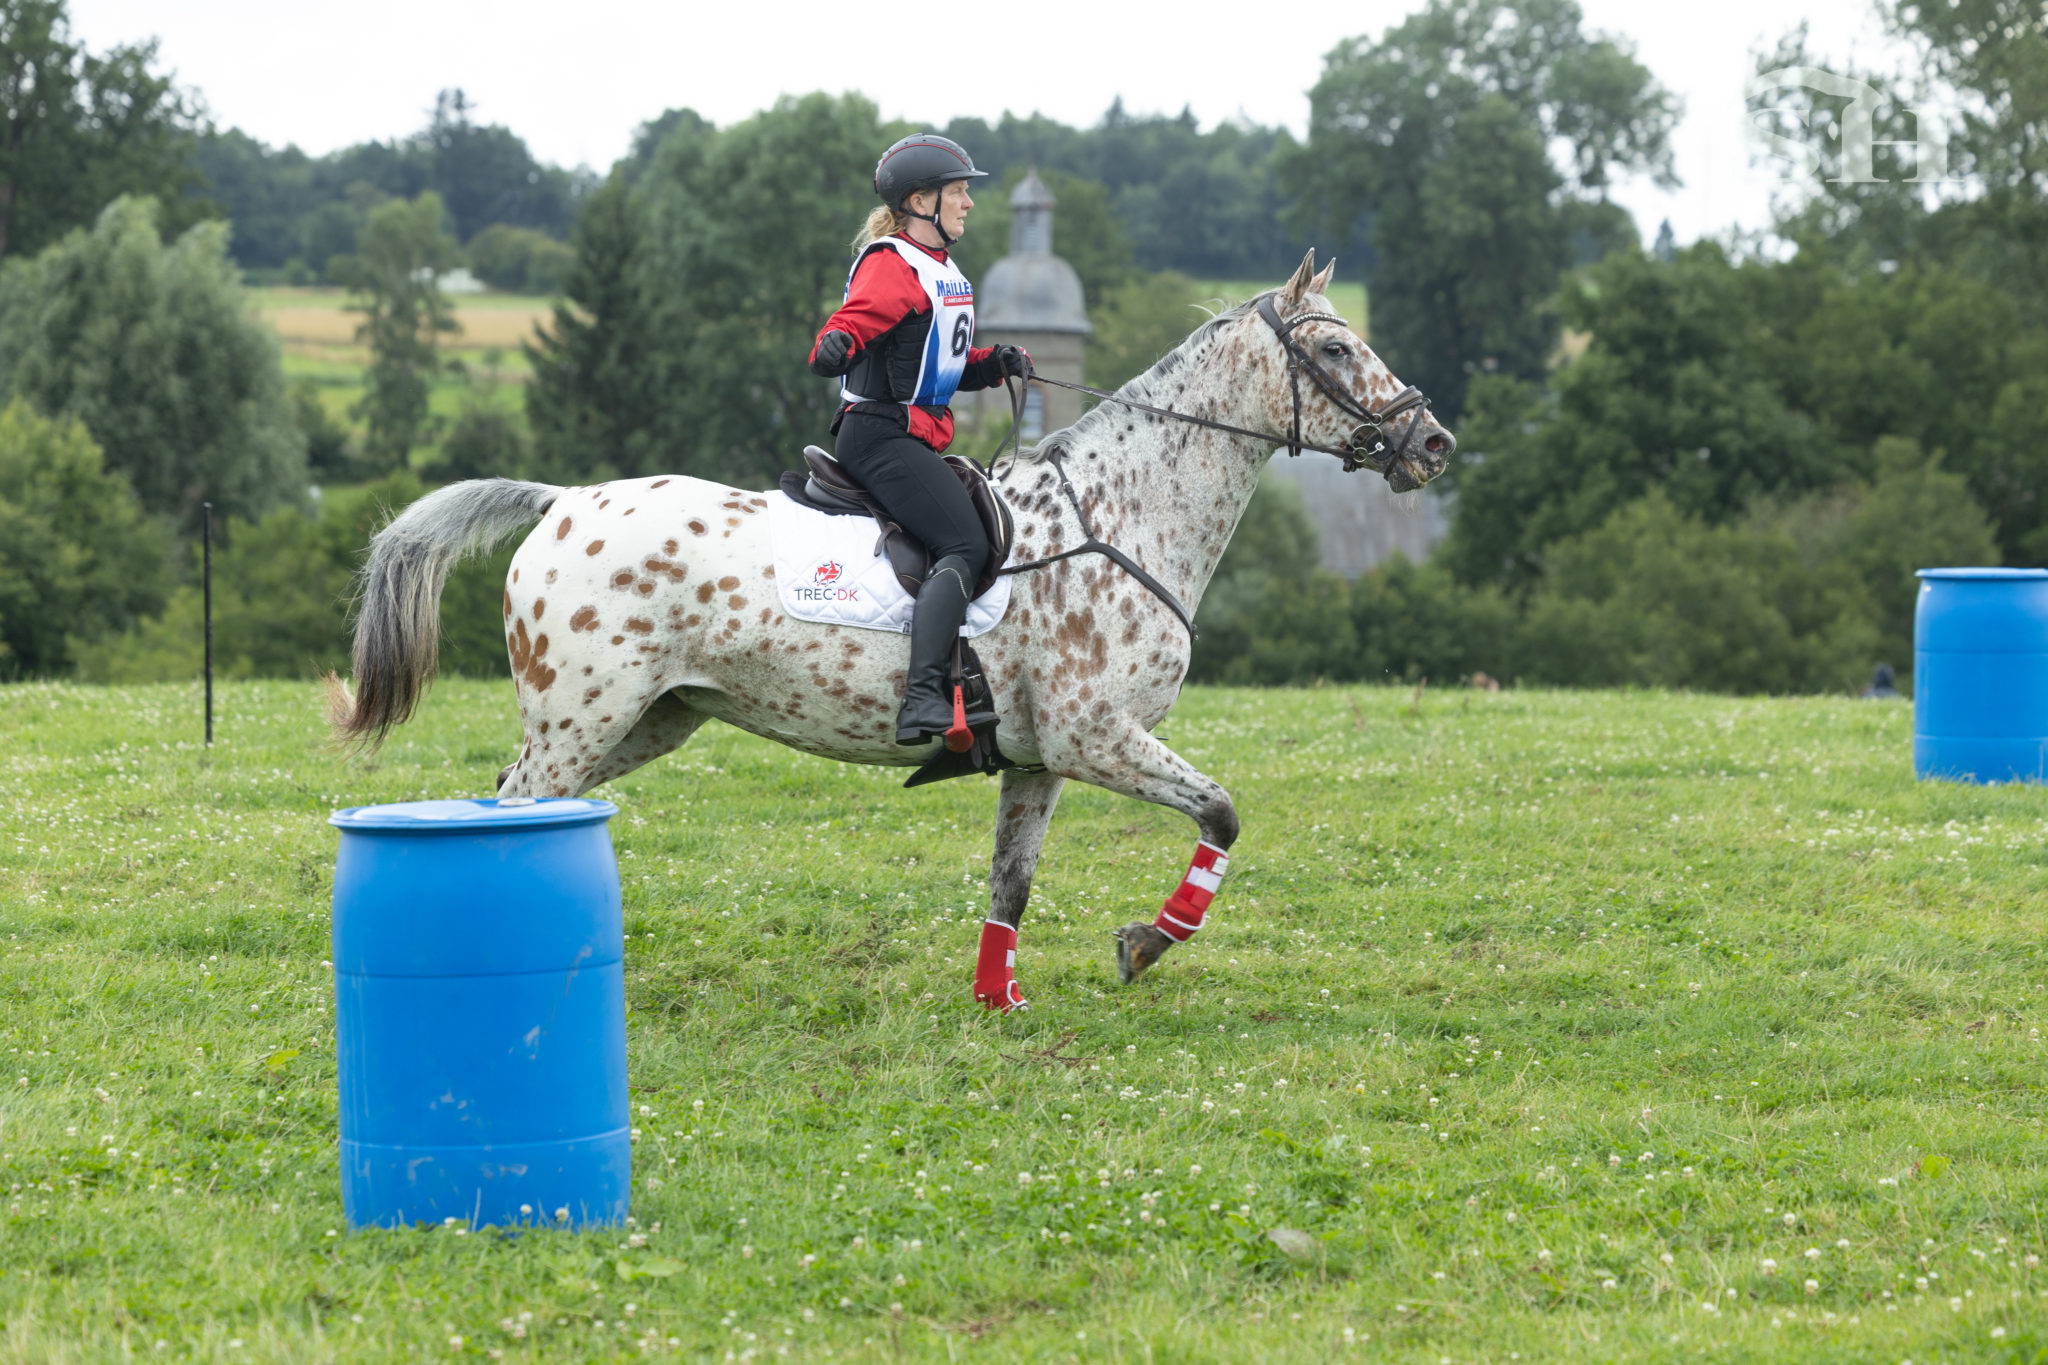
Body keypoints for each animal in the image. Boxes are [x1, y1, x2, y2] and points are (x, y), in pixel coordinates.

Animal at [326, 251, 1455, 1010]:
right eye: (1333, 347)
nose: (1433, 441)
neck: (1119, 512)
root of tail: (562, 501)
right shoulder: (1097, 736)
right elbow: (1220, 813)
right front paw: (1147, 942)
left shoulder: (1039, 757)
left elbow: (1012, 882)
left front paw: (999, 1001)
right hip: (580, 721)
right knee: (513, 810)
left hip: (650, 719)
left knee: (515, 803)